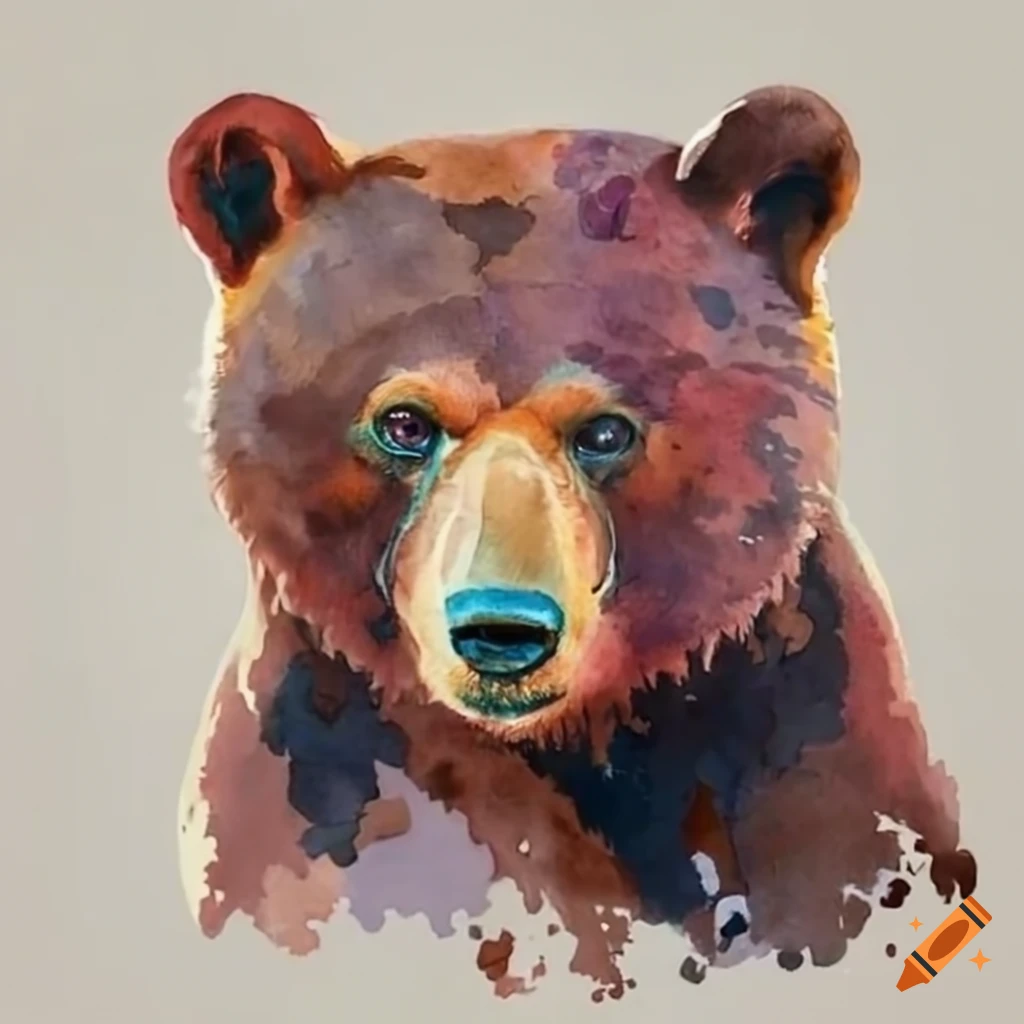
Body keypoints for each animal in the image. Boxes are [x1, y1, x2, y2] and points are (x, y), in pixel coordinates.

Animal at [167, 85, 976, 997]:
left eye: (603, 431)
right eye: (404, 421)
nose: (500, 630)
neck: (590, 740)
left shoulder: (822, 743)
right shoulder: (319, 790)